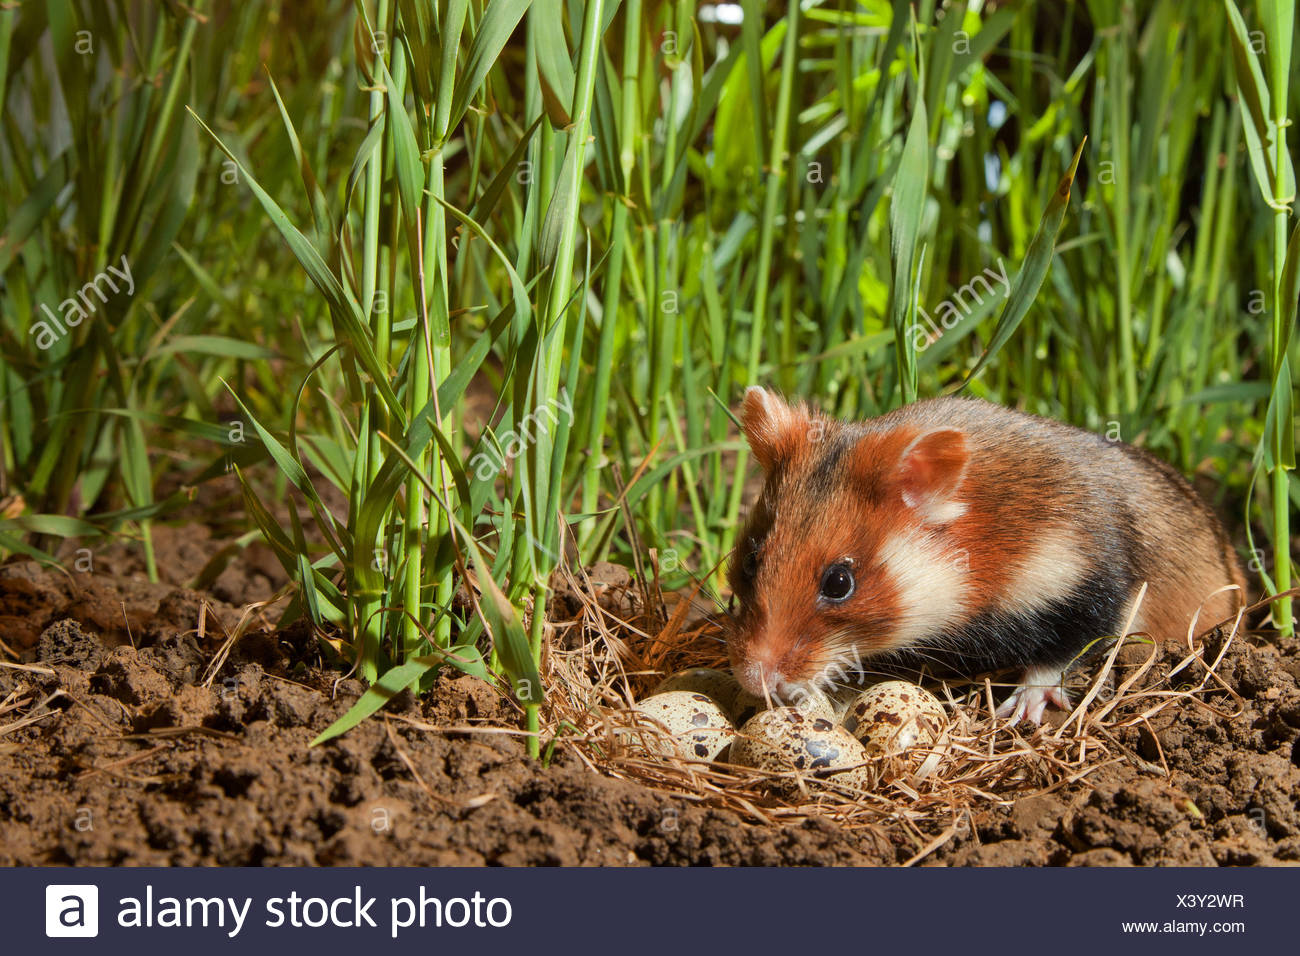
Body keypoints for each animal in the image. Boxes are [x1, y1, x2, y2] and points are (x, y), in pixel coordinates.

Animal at [726, 387, 1246, 723]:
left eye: (839, 583)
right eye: (750, 561)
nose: (751, 680)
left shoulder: (1093, 584)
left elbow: (1062, 653)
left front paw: (1021, 709)